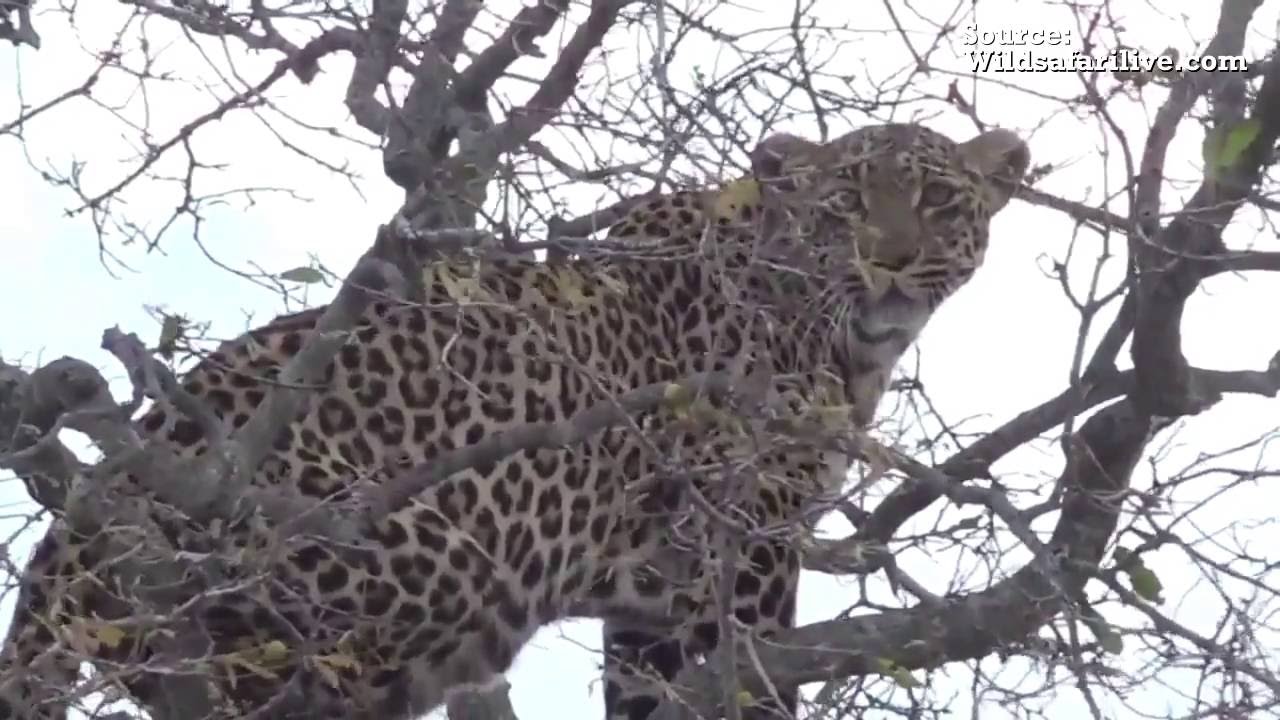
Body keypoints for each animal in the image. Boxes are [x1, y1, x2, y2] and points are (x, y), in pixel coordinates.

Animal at [0, 122, 1029, 720]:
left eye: (939, 200)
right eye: (844, 203)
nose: (890, 260)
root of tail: (73, 538)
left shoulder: (659, 595)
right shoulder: (744, 547)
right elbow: (755, 672)